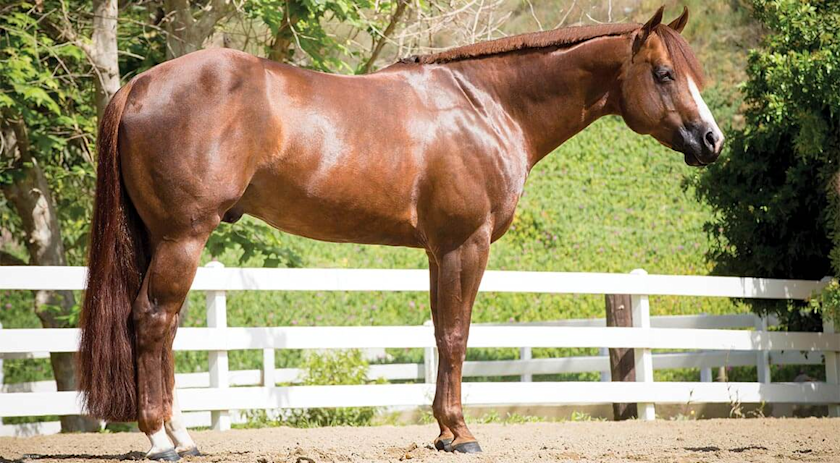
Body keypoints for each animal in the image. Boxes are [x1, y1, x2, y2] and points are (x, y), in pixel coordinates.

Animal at [78, 5, 722, 459]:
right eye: (665, 74)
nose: (711, 141)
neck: (486, 106)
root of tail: (139, 85)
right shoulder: (466, 244)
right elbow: (458, 336)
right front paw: (462, 433)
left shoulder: (439, 250)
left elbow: (440, 332)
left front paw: (443, 432)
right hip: (183, 238)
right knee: (153, 321)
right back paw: (162, 442)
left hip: (163, 241)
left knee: (163, 328)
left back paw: (183, 437)